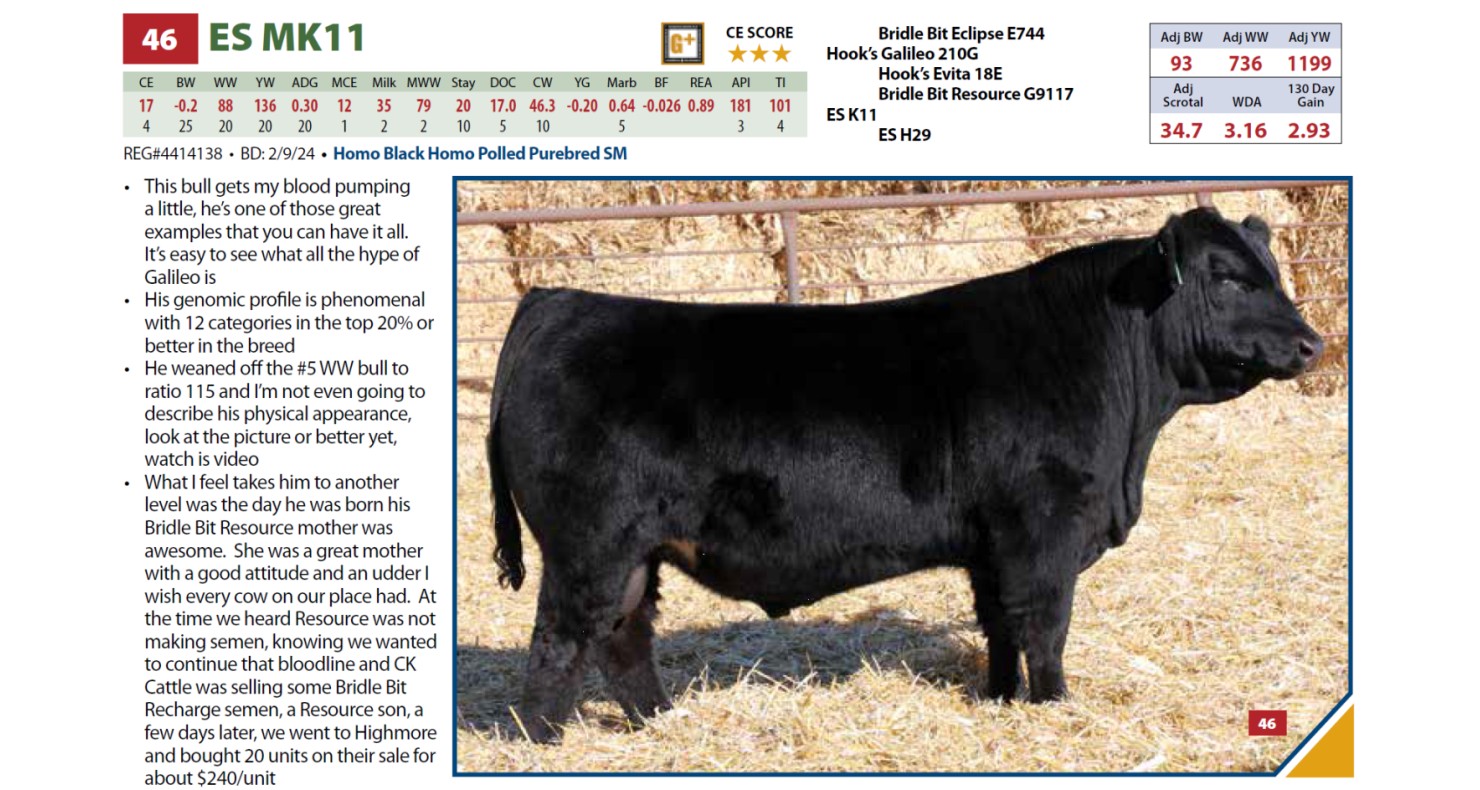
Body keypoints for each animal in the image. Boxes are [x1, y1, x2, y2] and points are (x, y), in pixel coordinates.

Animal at [482, 206, 1324, 742]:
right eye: (1226, 276)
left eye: (1272, 270)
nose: (1313, 343)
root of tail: (555, 301)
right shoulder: (1045, 531)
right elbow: (1046, 626)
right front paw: (1056, 710)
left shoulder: (994, 545)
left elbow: (1000, 625)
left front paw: (1000, 700)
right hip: (589, 544)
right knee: (560, 640)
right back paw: (543, 744)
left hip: (633, 550)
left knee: (623, 635)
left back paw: (662, 722)